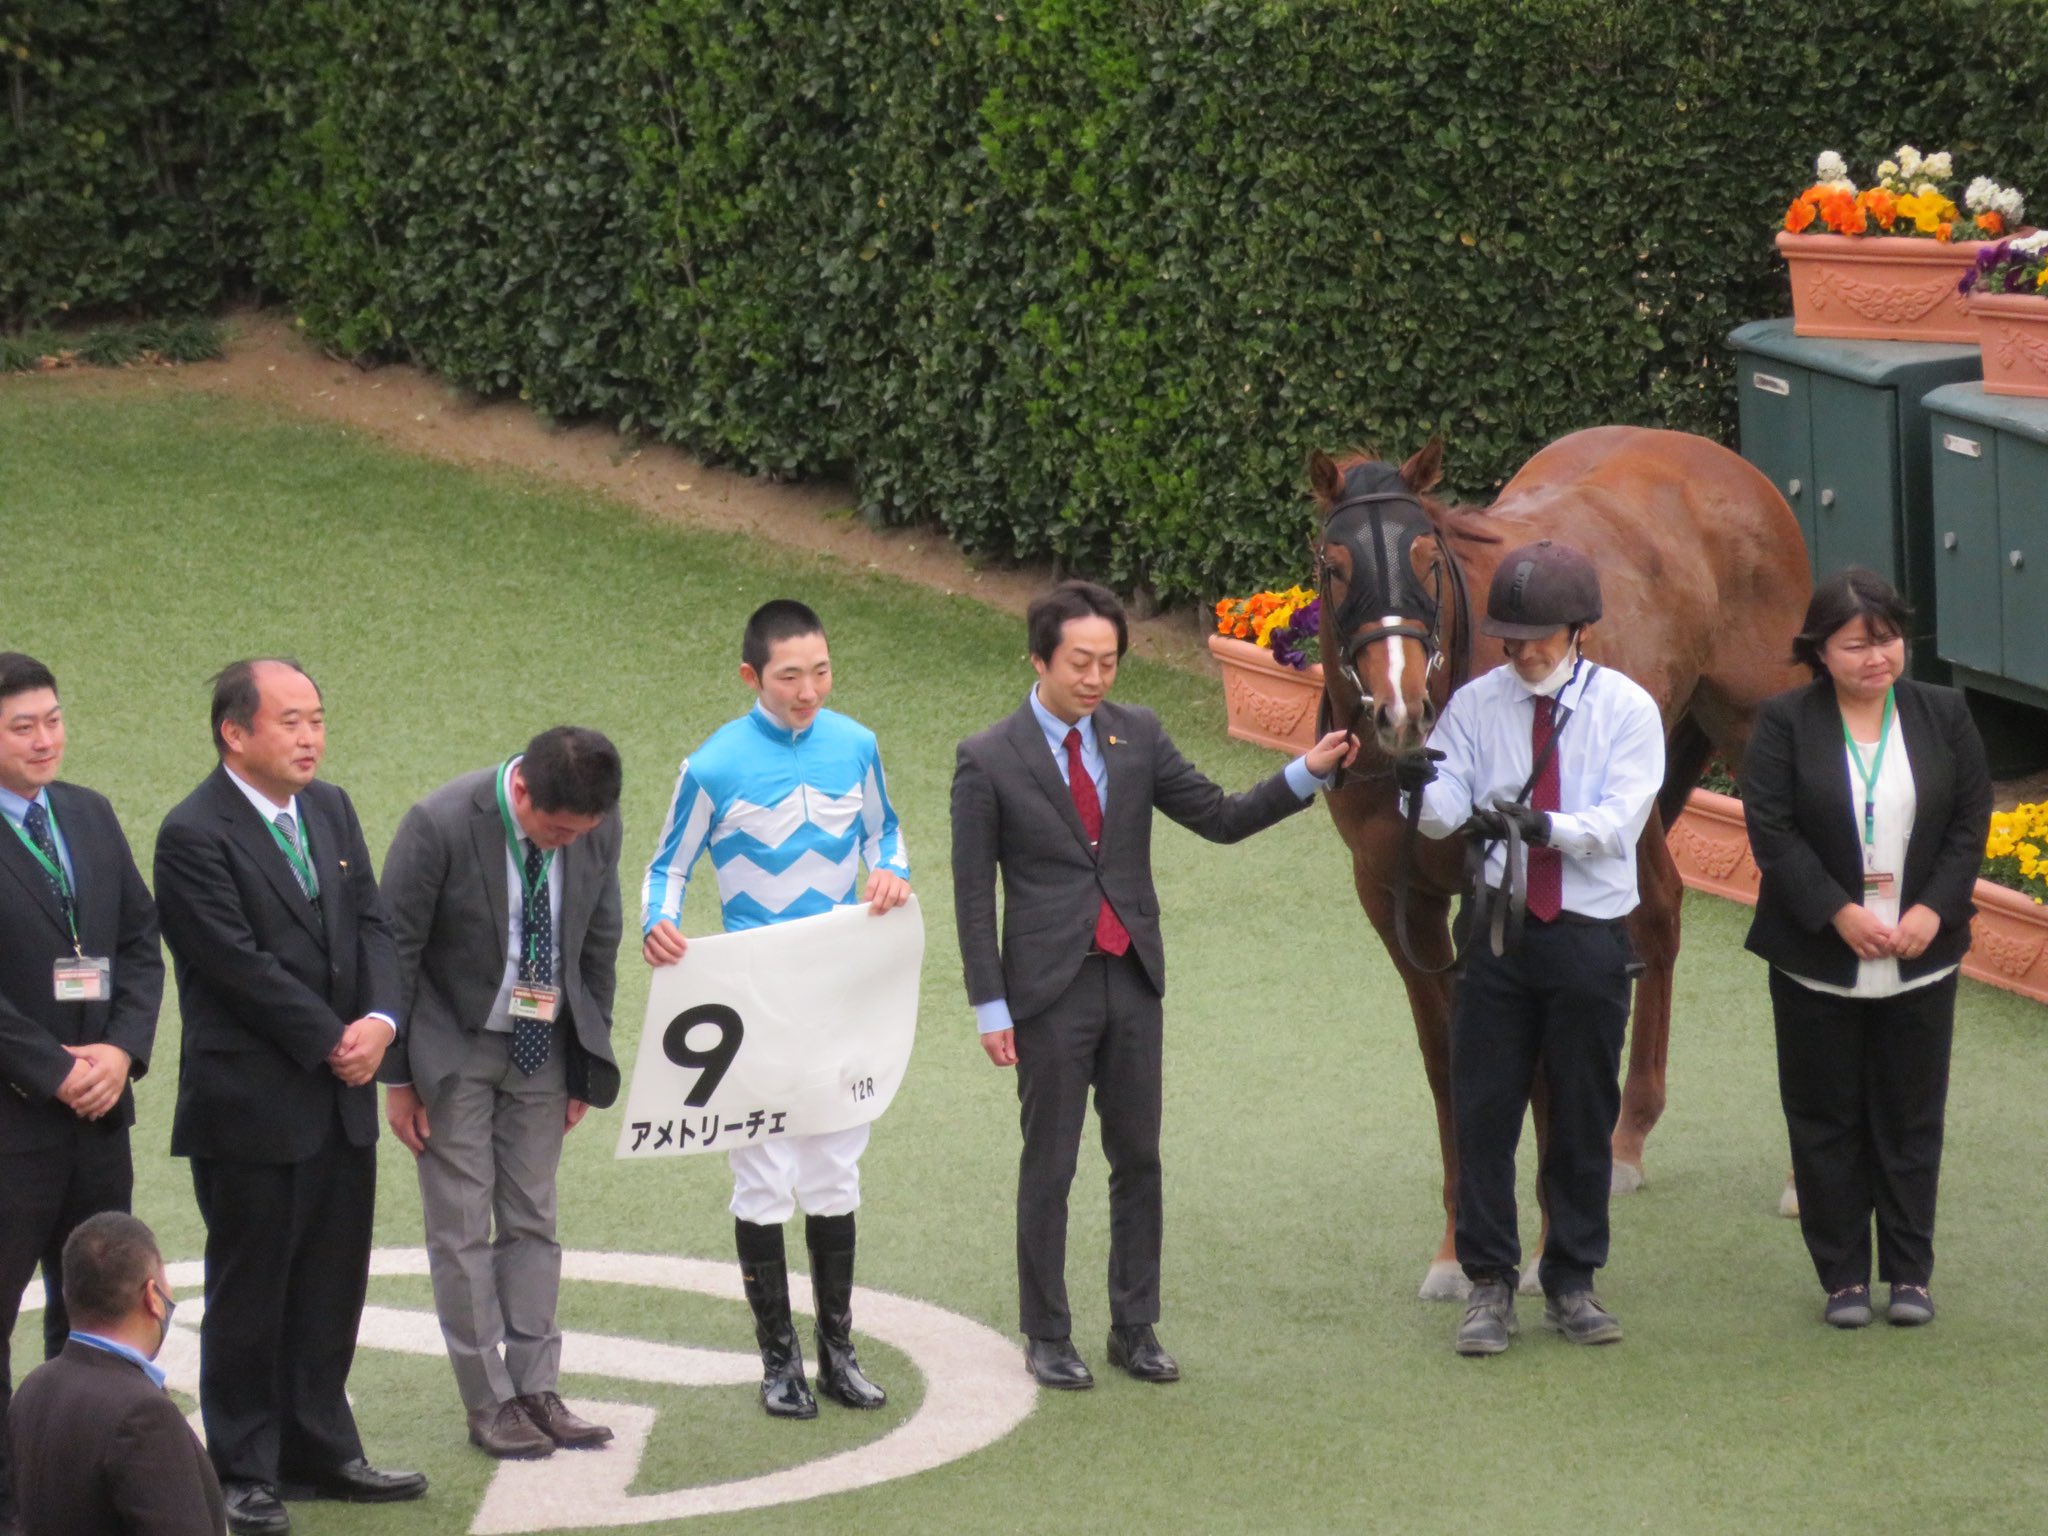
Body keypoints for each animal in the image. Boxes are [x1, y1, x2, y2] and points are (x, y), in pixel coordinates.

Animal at [1308, 427, 1811, 1299]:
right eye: (1336, 564)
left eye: (1426, 558)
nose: (1401, 708)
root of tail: (1720, 461)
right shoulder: (1396, 901)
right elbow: (1450, 1064)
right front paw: (1455, 1252)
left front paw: (1546, 1253)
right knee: (1658, 912)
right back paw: (1624, 1140)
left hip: (1756, 737)